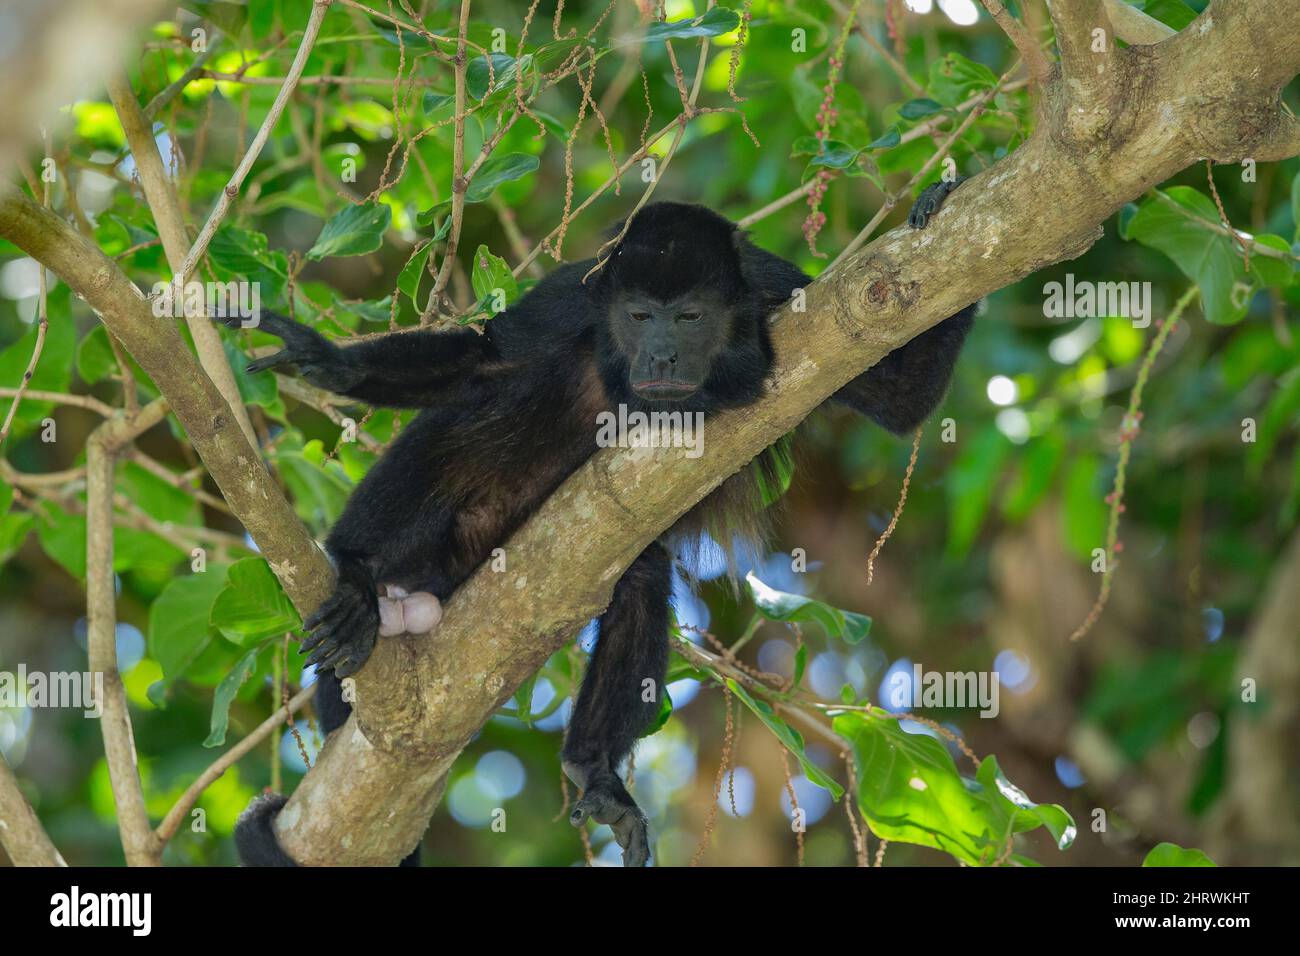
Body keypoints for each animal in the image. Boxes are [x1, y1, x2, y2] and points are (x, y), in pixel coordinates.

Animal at [231, 182, 975, 867]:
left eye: (690, 317)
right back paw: (355, 574)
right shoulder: (572, 296)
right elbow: (486, 356)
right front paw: (326, 360)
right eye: (640, 316)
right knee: (447, 433)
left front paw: (939, 207)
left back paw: (592, 768)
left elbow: (897, 395)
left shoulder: (778, 288)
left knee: (637, 578)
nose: (663, 356)